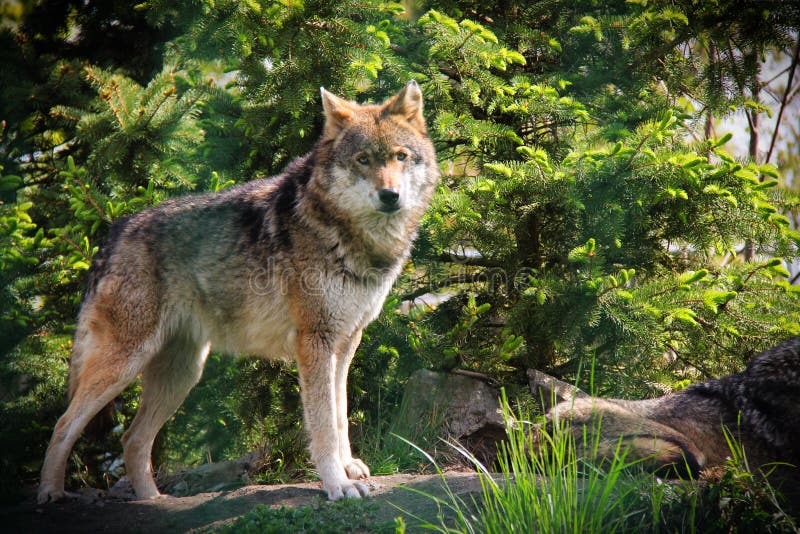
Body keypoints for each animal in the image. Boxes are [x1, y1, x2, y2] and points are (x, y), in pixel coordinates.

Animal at [37, 80, 439, 503]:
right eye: (363, 159)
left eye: (400, 156)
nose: (390, 195)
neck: (348, 234)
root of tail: (114, 232)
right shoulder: (314, 342)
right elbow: (324, 425)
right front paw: (338, 484)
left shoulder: (345, 343)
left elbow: (340, 414)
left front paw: (348, 469)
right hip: (126, 362)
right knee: (64, 425)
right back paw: (50, 494)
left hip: (181, 374)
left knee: (132, 439)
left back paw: (155, 503)